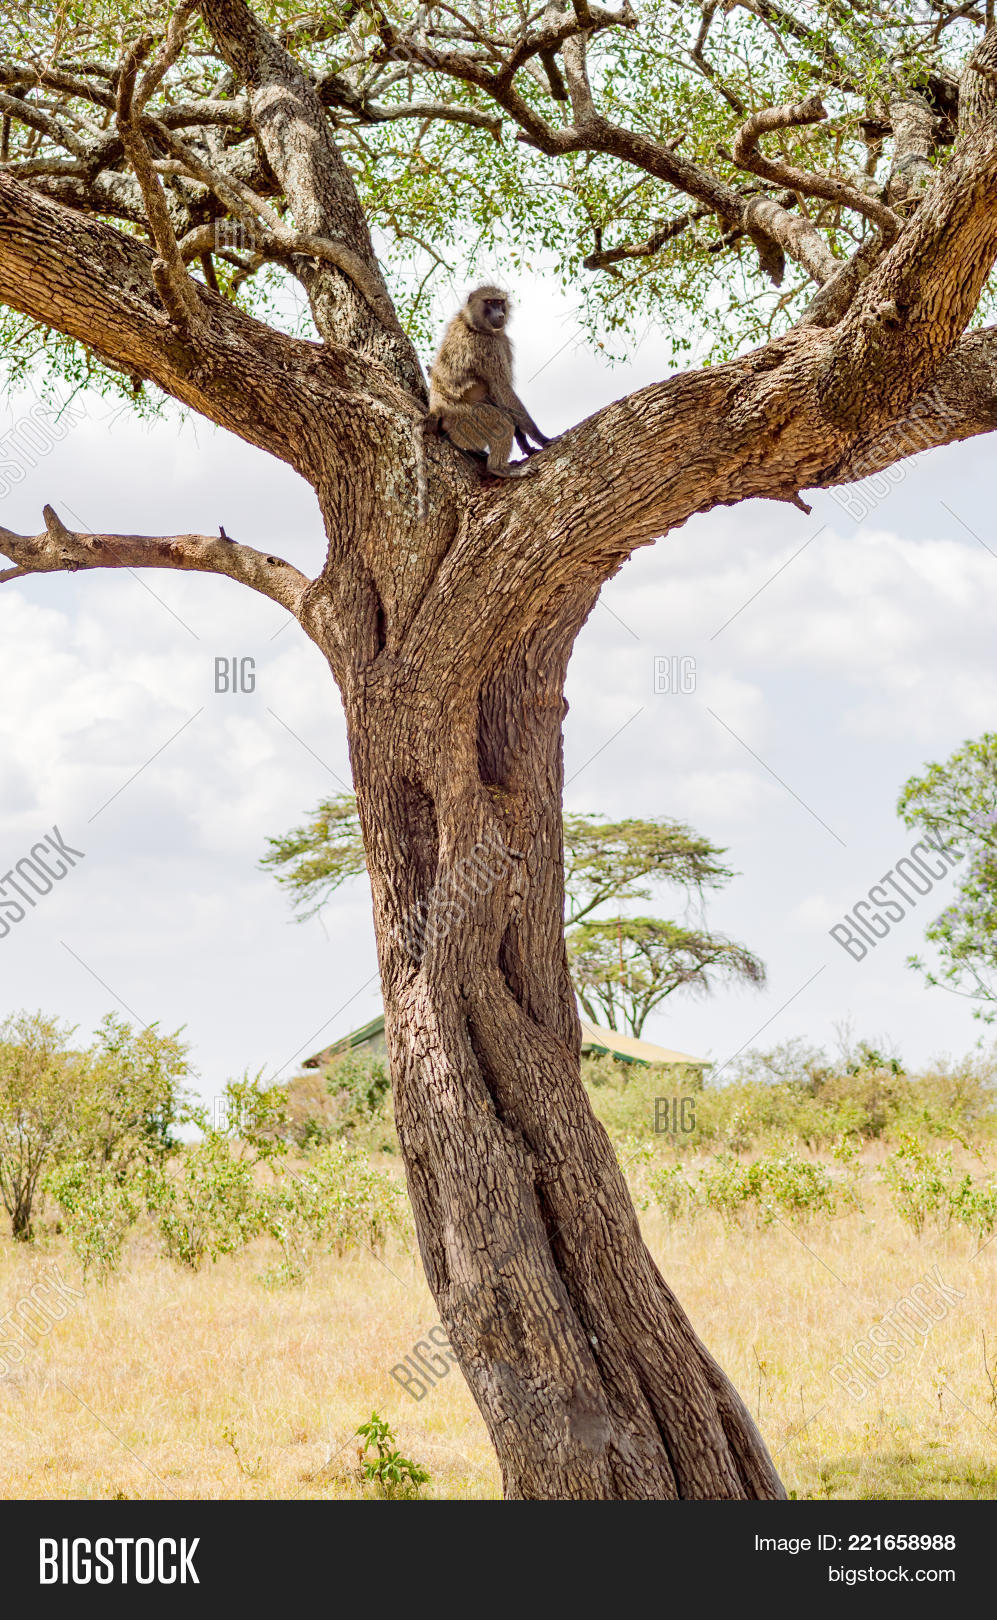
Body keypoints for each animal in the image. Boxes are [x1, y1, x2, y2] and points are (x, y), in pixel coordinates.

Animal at [427, 286, 552, 478]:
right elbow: (502, 389)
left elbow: (497, 394)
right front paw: (541, 439)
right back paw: (499, 469)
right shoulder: (488, 346)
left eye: (499, 302)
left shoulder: (501, 341)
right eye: (489, 302)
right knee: (501, 420)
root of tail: (435, 409)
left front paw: (525, 444)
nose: (500, 315)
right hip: (461, 416)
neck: (472, 324)